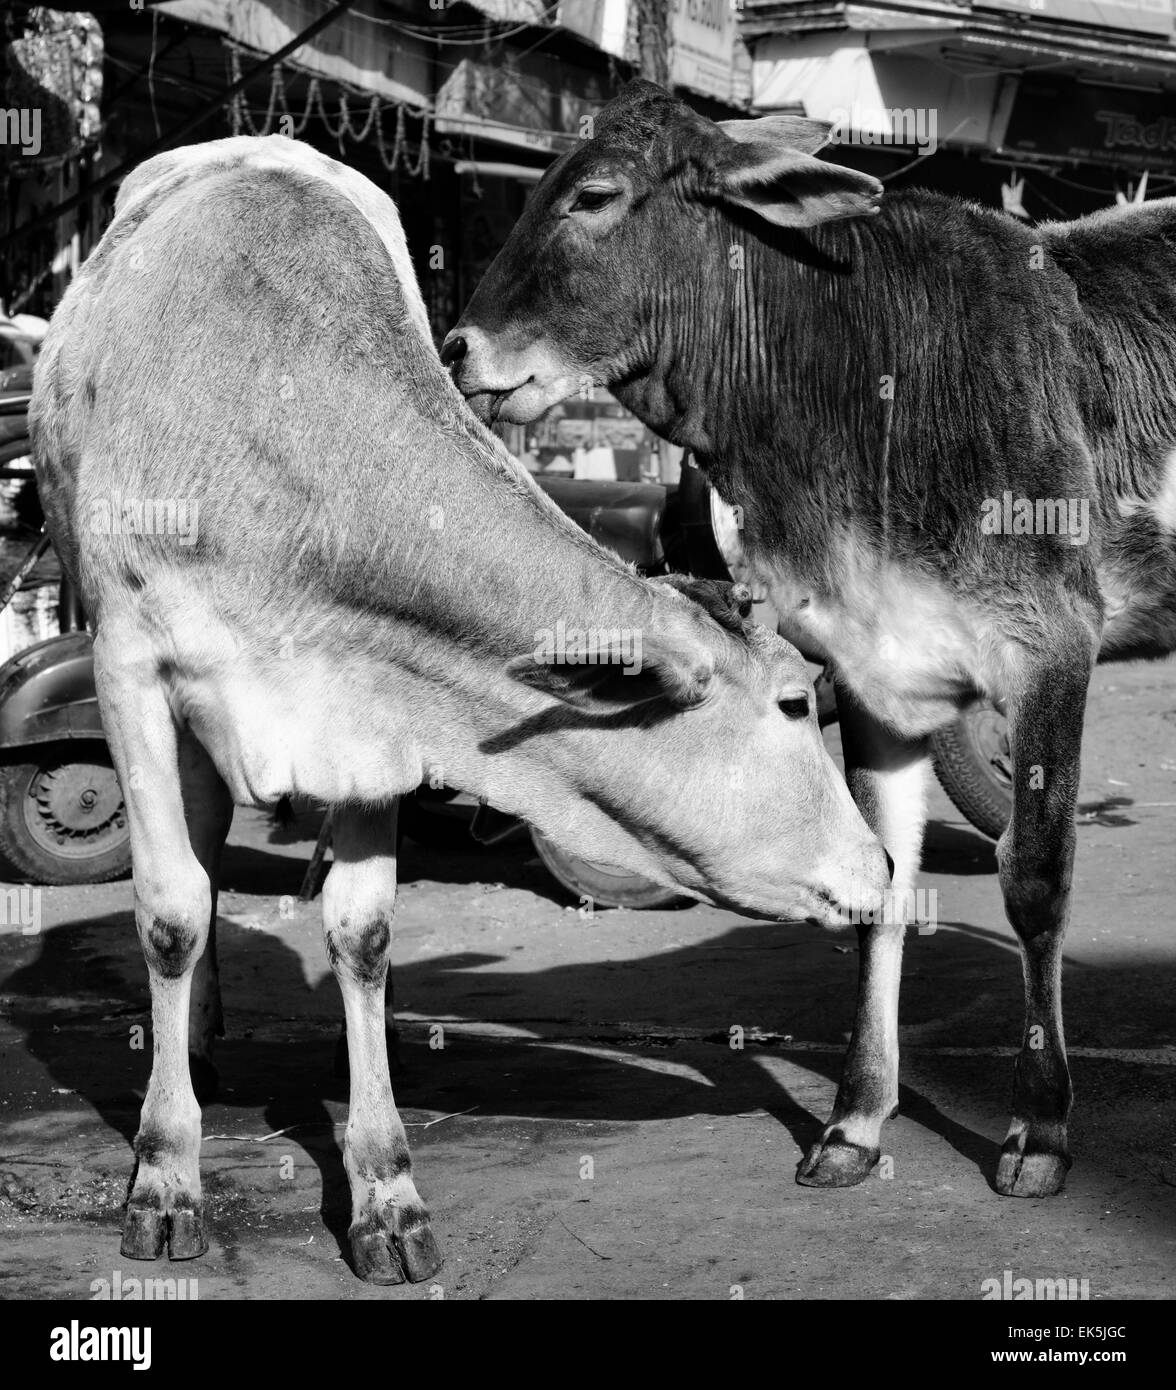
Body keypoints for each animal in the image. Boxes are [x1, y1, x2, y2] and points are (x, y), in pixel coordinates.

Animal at [30, 134, 890, 1284]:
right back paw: (196, 1048)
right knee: (194, 866)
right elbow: (168, 913)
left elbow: (364, 934)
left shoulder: (372, 704)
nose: (881, 869)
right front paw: (166, 1171)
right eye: (796, 701)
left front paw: (387, 1190)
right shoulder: (127, 665)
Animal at [444, 79, 1176, 1199]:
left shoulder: (1054, 644)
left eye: (595, 195)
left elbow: (1036, 878)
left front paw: (1041, 1127)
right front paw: (857, 1120)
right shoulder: (876, 670)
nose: (457, 349)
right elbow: (880, 880)